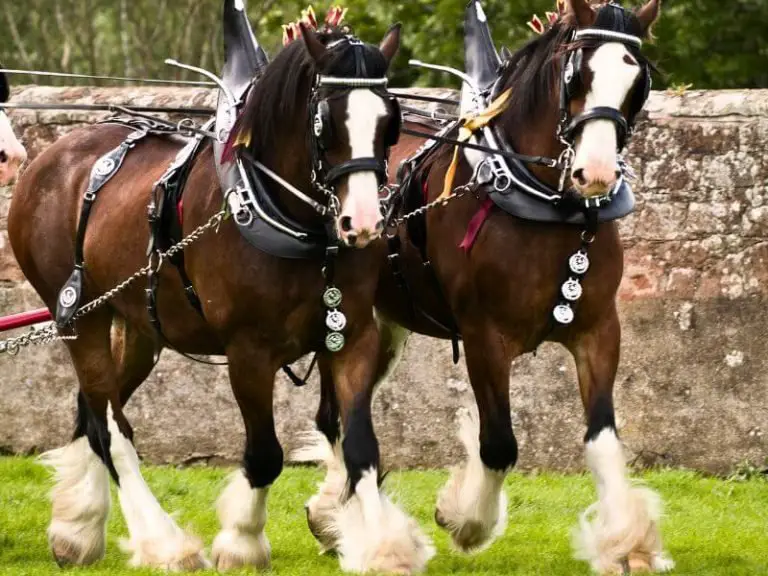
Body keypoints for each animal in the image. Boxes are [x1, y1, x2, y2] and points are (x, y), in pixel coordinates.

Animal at [7, 20, 418, 572]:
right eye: (325, 123)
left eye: (389, 123)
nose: (366, 223)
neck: (287, 219)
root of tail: (50, 158)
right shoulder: (248, 352)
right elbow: (264, 455)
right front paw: (242, 543)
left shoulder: (351, 335)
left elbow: (360, 446)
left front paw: (385, 548)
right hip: (78, 316)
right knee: (112, 430)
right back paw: (162, 543)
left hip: (137, 325)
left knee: (92, 411)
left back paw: (77, 529)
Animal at [303, 0, 675, 573]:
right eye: (577, 76)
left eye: (639, 83)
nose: (595, 172)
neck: (546, 208)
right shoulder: (484, 336)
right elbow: (498, 442)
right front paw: (466, 519)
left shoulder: (597, 329)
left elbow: (603, 439)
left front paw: (628, 542)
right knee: (335, 418)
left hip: (383, 328)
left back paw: (331, 515)